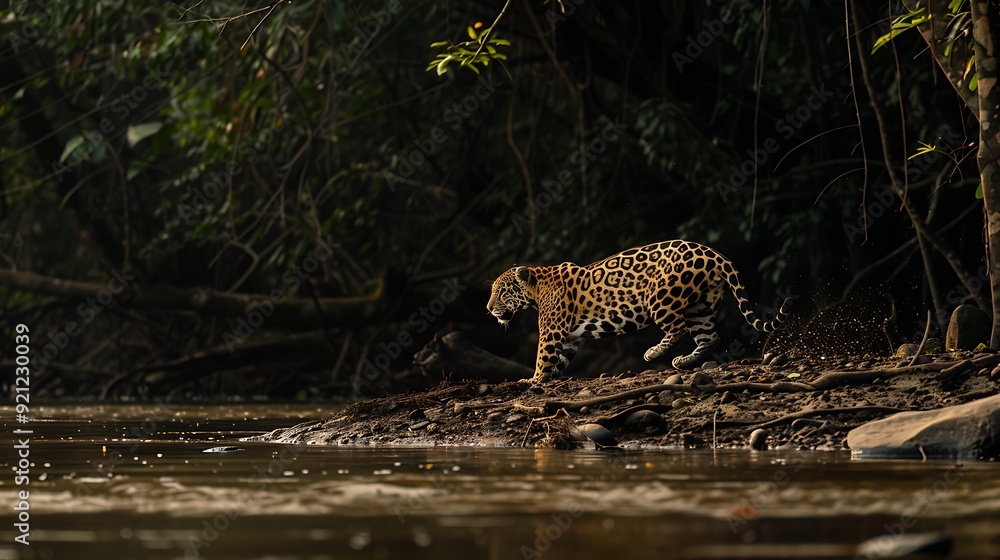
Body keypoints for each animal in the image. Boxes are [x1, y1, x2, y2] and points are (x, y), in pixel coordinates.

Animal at [487, 239, 793, 383]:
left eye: (501, 291)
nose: (488, 308)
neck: (536, 287)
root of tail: (713, 253)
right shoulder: (570, 338)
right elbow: (560, 359)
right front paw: (548, 378)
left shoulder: (551, 332)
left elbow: (543, 356)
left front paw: (534, 379)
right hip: (701, 306)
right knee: (709, 337)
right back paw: (684, 361)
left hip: (660, 298)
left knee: (677, 327)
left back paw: (654, 353)